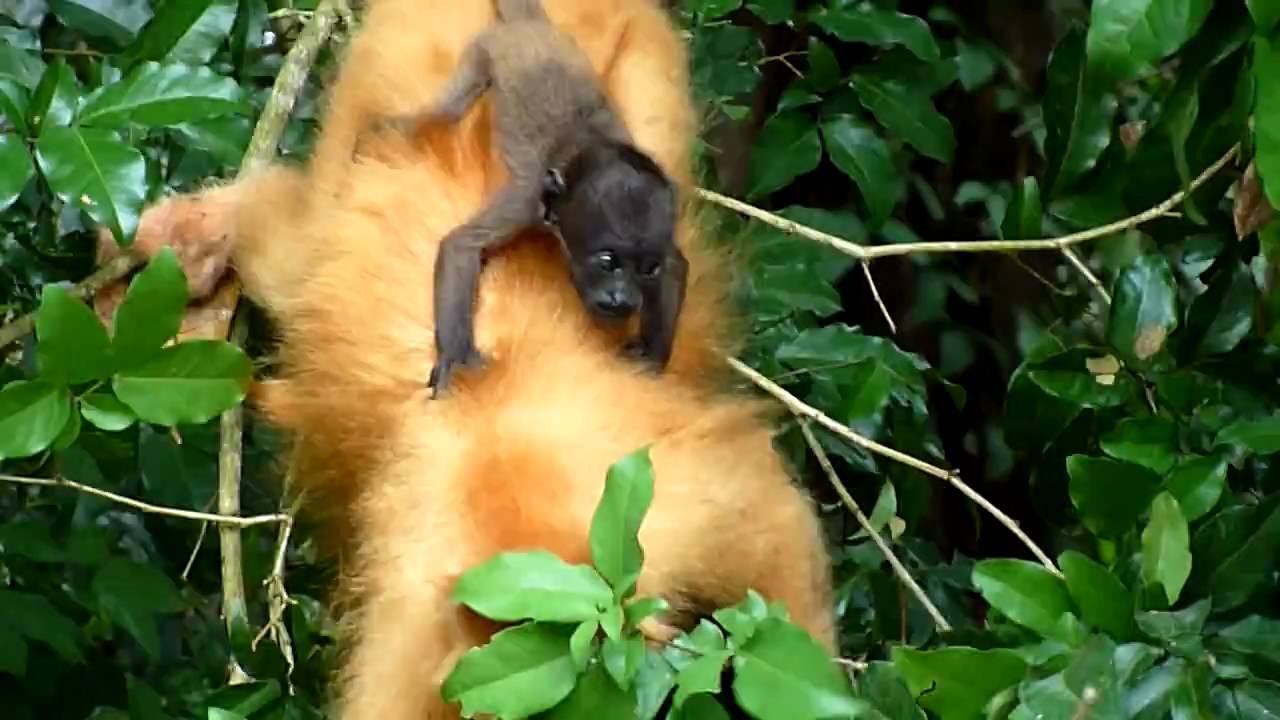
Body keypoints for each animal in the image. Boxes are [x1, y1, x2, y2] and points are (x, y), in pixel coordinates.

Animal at [366, 0, 688, 398]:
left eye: (648, 269)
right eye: (608, 261)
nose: (624, 299)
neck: (579, 156)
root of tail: (534, 28)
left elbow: (677, 265)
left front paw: (652, 357)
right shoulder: (527, 199)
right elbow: (461, 244)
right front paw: (455, 354)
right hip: (485, 49)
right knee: (451, 109)